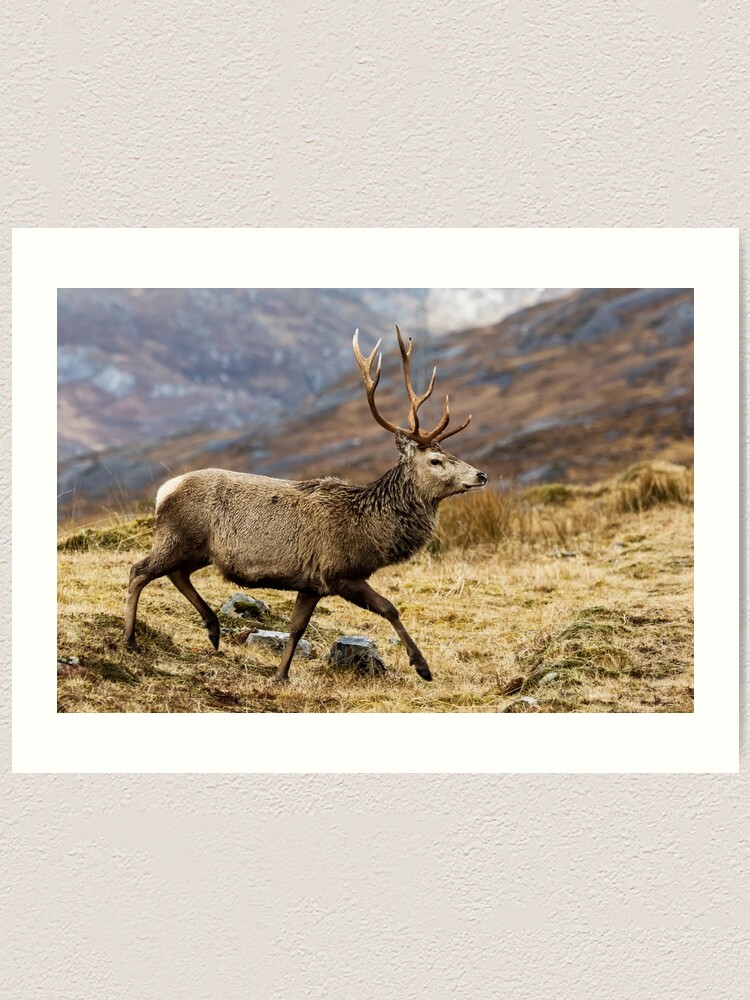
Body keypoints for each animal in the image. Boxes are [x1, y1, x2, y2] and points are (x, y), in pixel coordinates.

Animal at [123, 326, 488, 682]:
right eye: (436, 460)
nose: (481, 474)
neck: (370, 529)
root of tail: (163, 492)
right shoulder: (339, 572)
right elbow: (389, 607)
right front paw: (422, 666)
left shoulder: (312, 583)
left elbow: (297, 628)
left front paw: (281, 675)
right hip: (179, 536)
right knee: (139, 570)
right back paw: (130, 639)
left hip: (197, 549)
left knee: (177, 574)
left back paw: (213, 630)